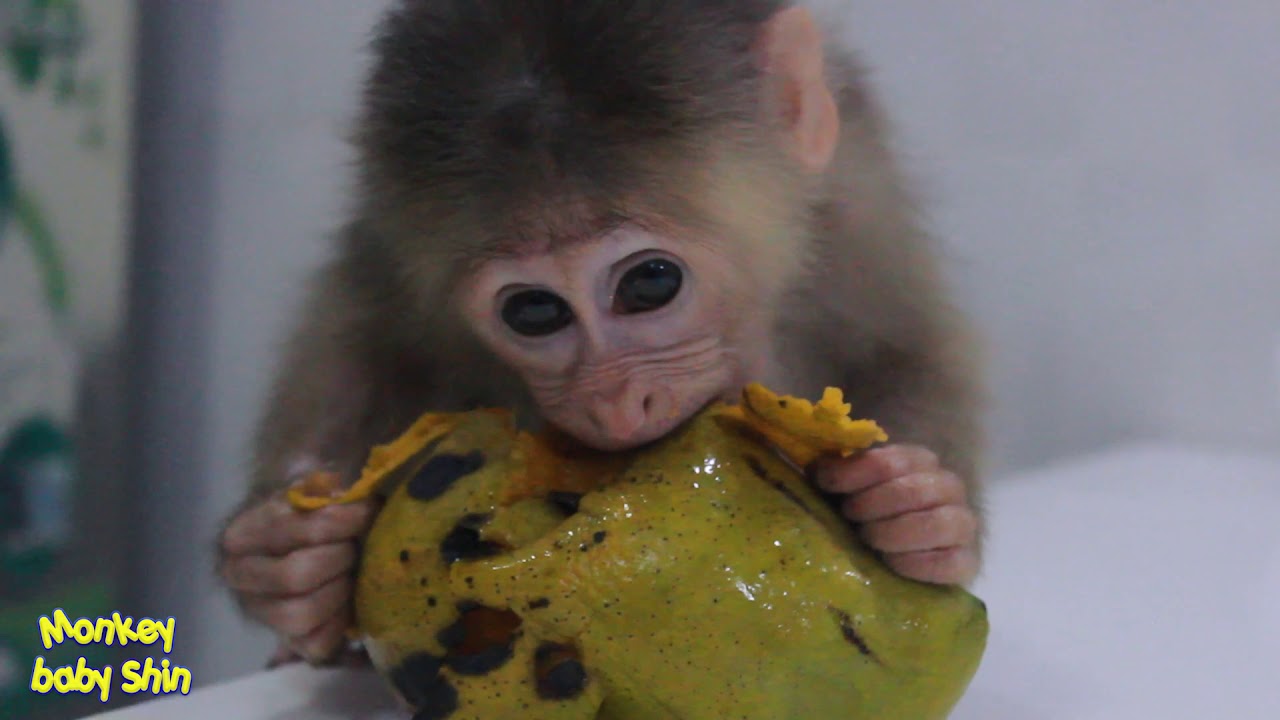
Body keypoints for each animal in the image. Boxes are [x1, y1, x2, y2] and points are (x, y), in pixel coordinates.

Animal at [217, 0, 985, 667]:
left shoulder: (856, 195)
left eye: (650, 282)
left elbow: (902, 346)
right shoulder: (394, 241)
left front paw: (922, 512)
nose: (615, 404)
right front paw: (283, 563)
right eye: (534, 311)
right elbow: (358, 337)